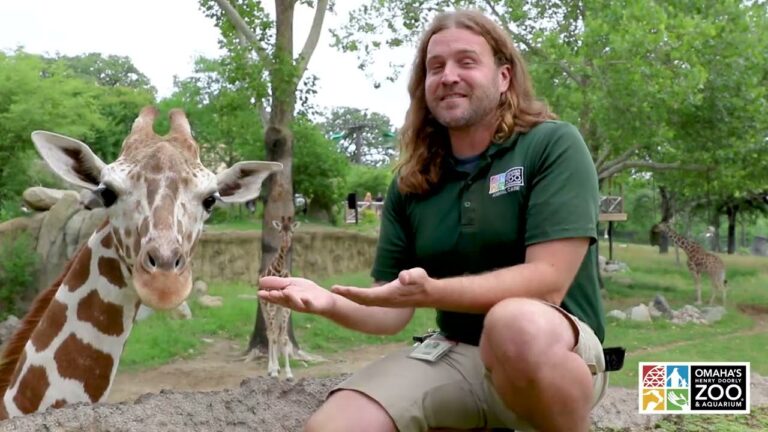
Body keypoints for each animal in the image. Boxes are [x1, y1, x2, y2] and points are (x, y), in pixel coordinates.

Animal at [246, 215, 299, 380]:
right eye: (280, 230)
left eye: (292, 230)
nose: (287, 243)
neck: (279, 271)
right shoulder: (270, 306)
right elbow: (274, 336)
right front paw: (274, 371)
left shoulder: (286, 307)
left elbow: (284, 338)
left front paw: (289, 373)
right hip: (265, 308)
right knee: (270, 333)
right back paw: (271, 368)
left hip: (278, 310)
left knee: (275, 331)